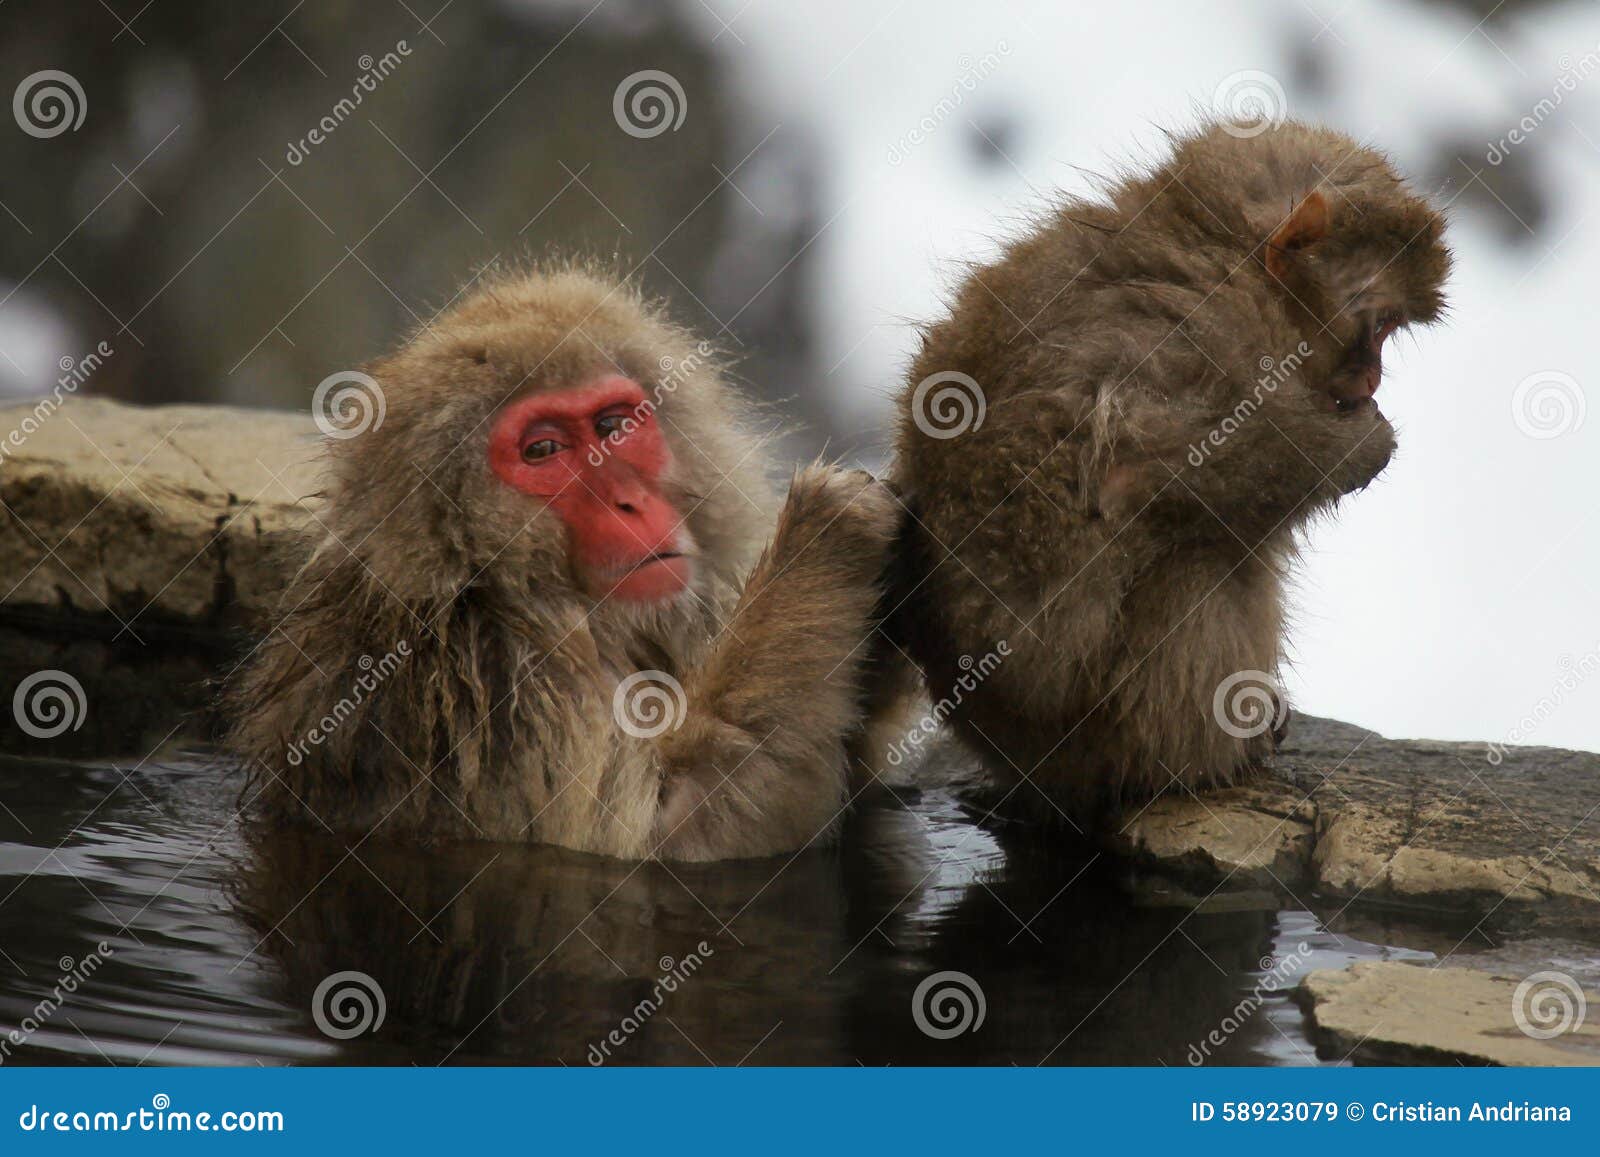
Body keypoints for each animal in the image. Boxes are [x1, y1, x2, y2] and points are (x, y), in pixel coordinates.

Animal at [227, 265, 903, 862]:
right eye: (544, 449)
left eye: (614, 425)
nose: (629, 501)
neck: (489, 587)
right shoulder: (503, 689)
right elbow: (676, 833)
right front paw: (825, 533)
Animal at [885, 120, 1452, 822]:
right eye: (1379, 326)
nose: (1372, 377)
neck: (1222, 250)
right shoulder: (1214, 337)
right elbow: (1136, 475)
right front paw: (1358, 445)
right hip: (1108, 732)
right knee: (1199, 560)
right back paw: (1217, 757)